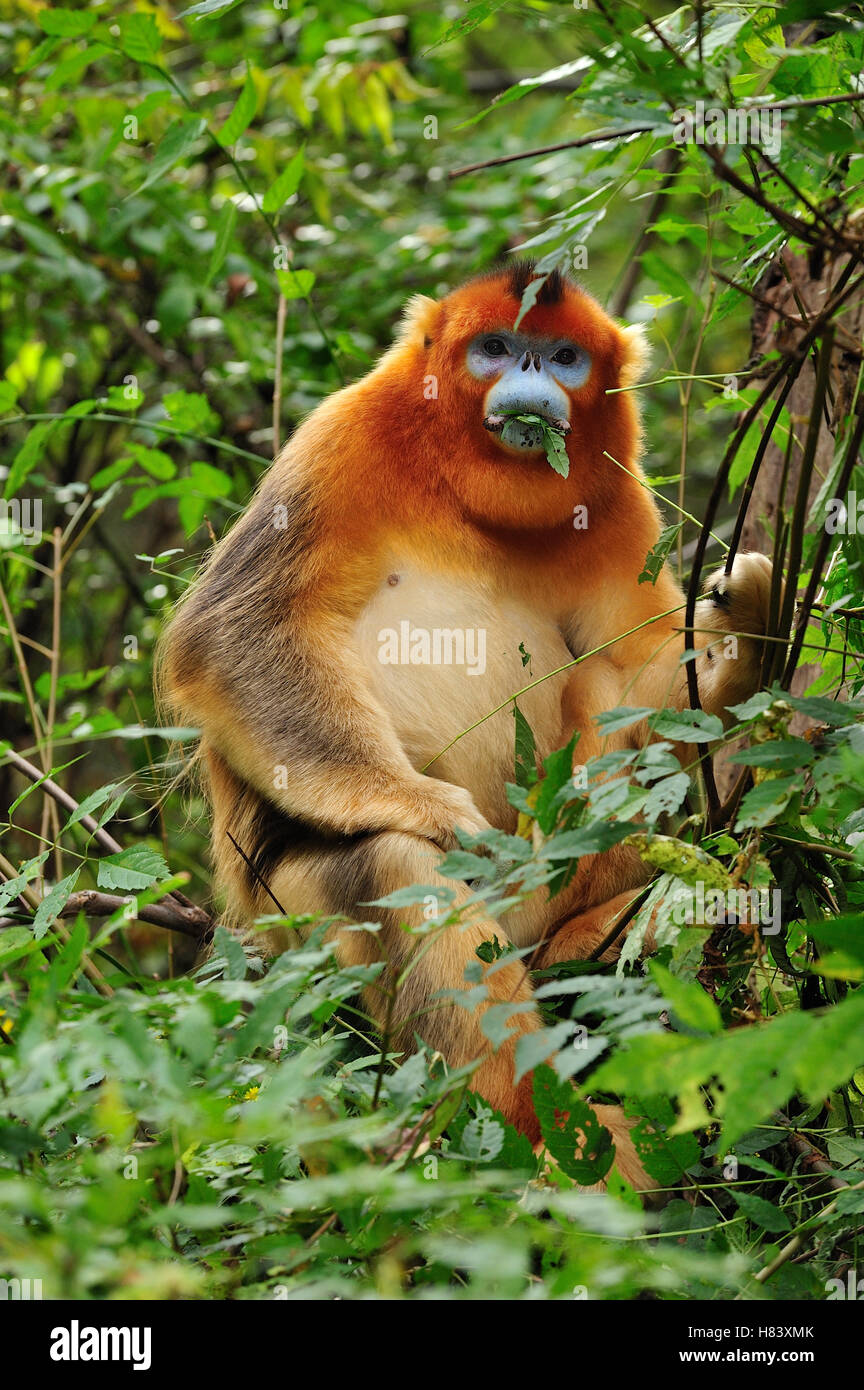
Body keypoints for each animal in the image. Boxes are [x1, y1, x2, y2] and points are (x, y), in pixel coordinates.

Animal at [159, 261, 772, 1176]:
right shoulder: (344, 436)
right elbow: (236, 633)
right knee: (390, 866)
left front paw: (755, 631)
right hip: (279, 920)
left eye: (562, 356)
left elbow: (635, 677)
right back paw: (535, 1125)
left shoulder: (616, 498)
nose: (530, 378)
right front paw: (425, 805)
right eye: (495, 348)